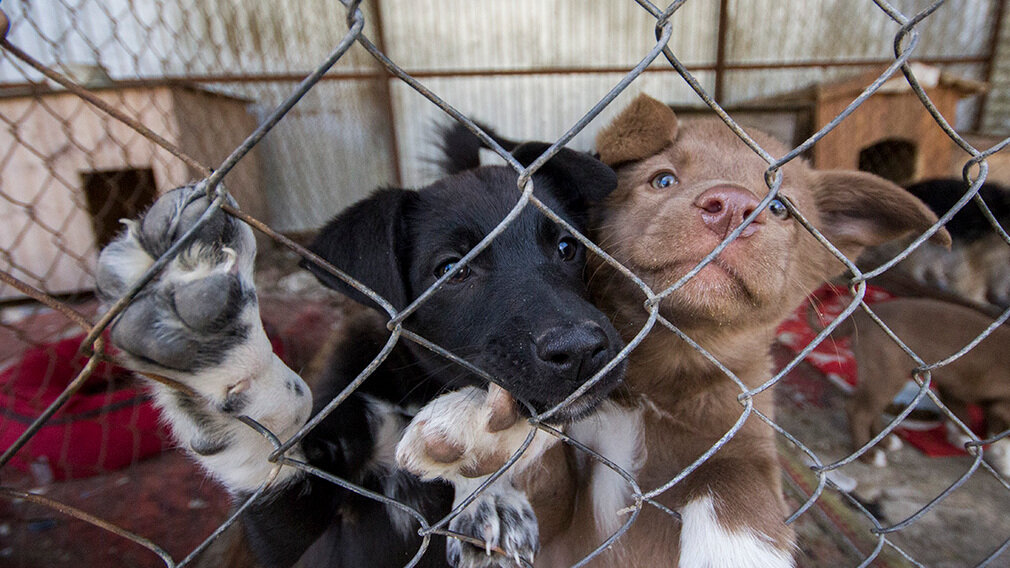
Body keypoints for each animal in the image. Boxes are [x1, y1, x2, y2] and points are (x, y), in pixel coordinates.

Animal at [98, 138, 626, 565]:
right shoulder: (293, 547)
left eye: (566, 247)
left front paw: (483, 471)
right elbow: (272, 443)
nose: (582, 350)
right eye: (452, 270)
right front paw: (224, 357)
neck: (410, 391)